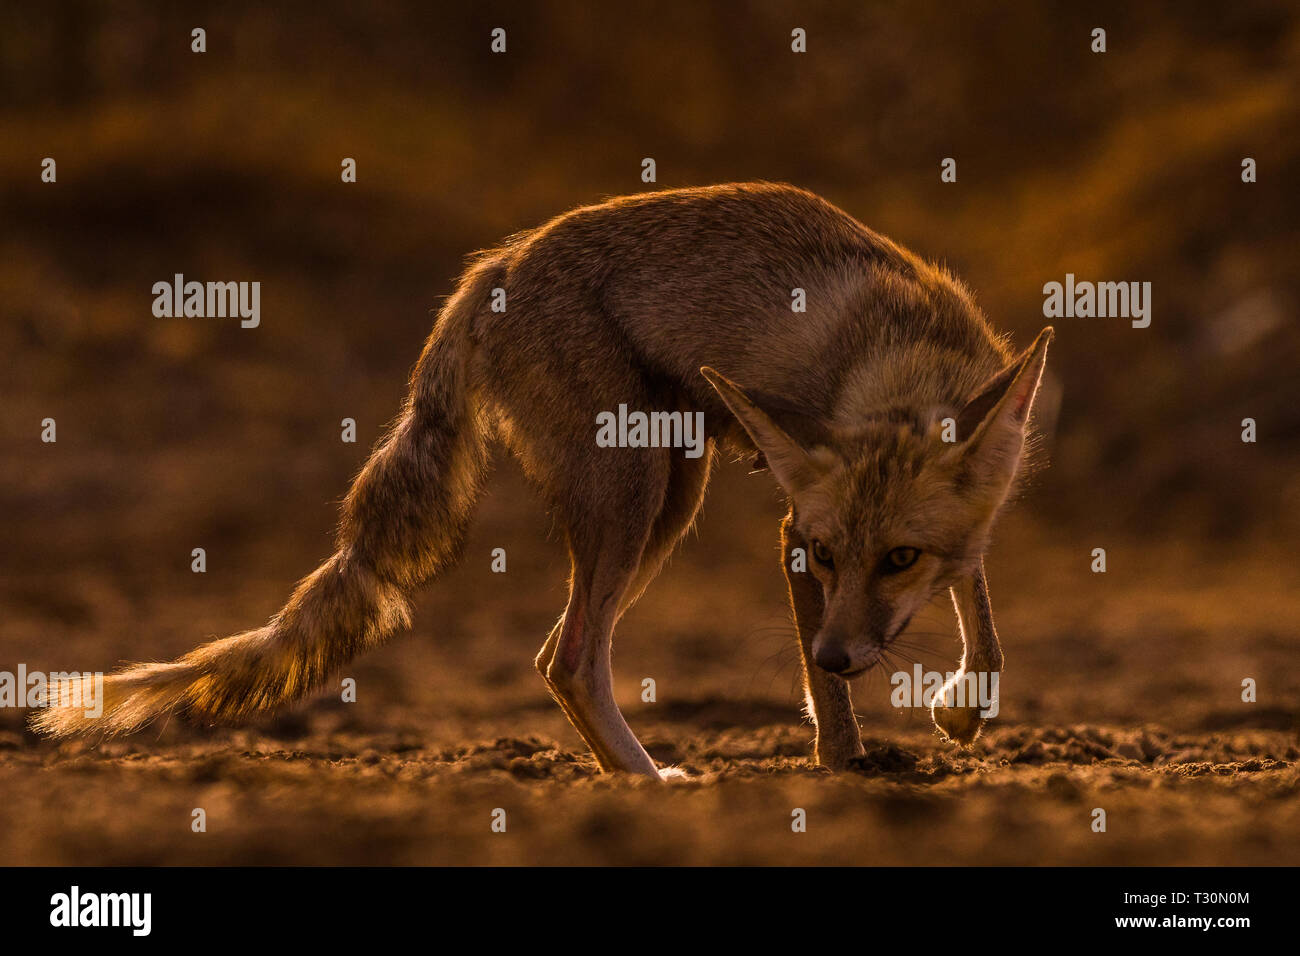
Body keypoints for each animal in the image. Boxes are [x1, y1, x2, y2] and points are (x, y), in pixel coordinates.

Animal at [33, 182, 1053, 778]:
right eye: (833, 556)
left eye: (899, 558)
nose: (844, 654)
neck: (896, 358)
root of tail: (496, 262)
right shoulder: (791, 529)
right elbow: (828, 691)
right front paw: (846, 766)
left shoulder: (967, 525)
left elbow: (987, 624)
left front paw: (963, 711)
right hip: (639, 492)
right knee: (567, 656)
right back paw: (645, 785)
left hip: (669, 495)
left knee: (554, 654)